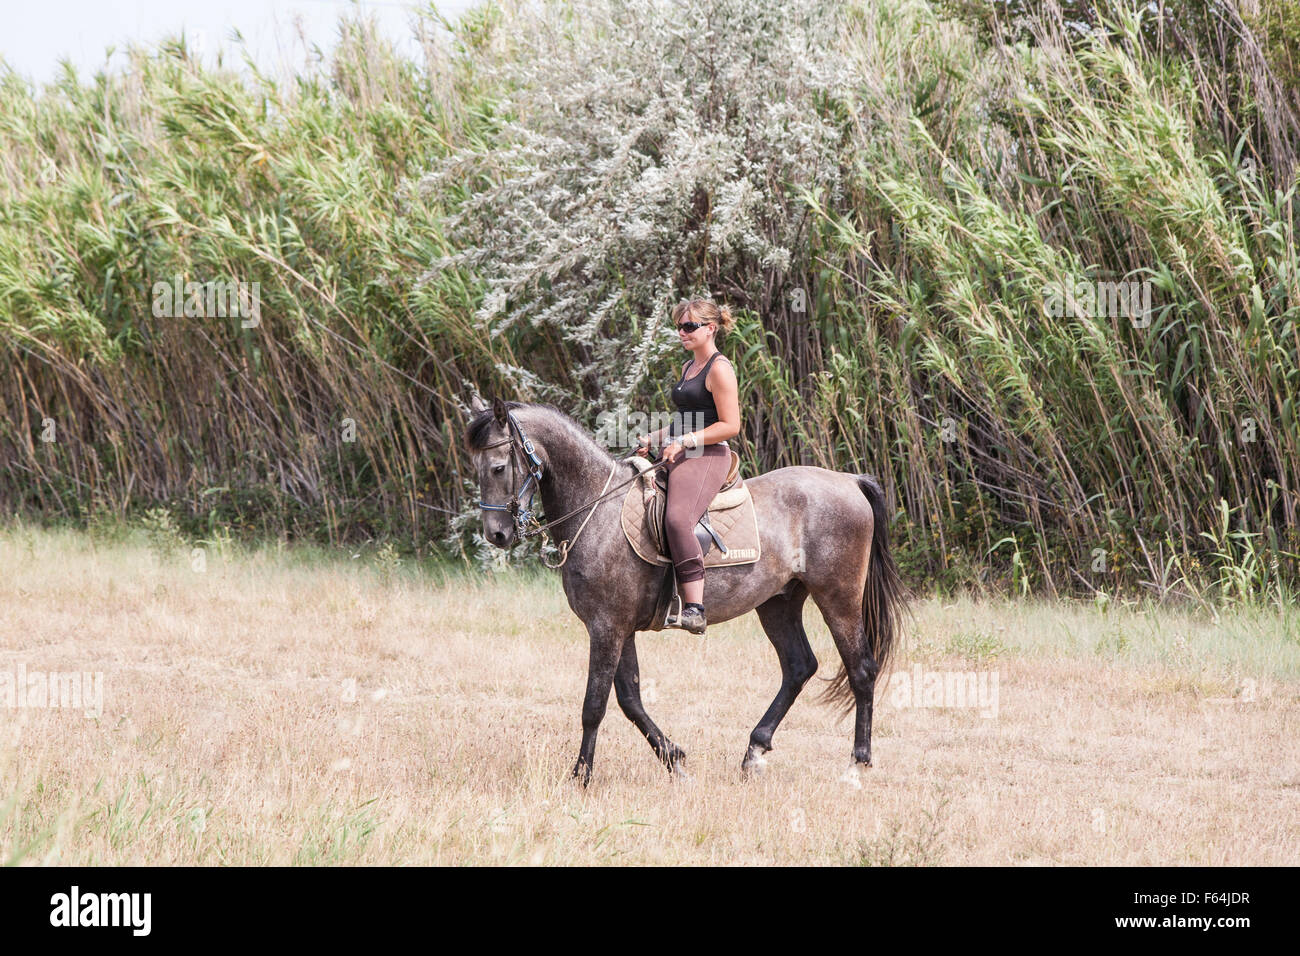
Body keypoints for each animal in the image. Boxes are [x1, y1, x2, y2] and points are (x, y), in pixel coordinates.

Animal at [464, 396, 907, 786]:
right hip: (778, 603)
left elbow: (595, 705)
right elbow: (630, 699)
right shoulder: (617, 627)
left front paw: (581, 775)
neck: (596, 510)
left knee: (861, 671)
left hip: (839, 598)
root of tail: (849, 480)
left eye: (499, 467)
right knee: (799, 667)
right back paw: (754, 752)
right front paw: (674, 760)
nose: (497, 535)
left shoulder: (607, 627)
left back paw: (855, 766)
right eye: (477, 469)